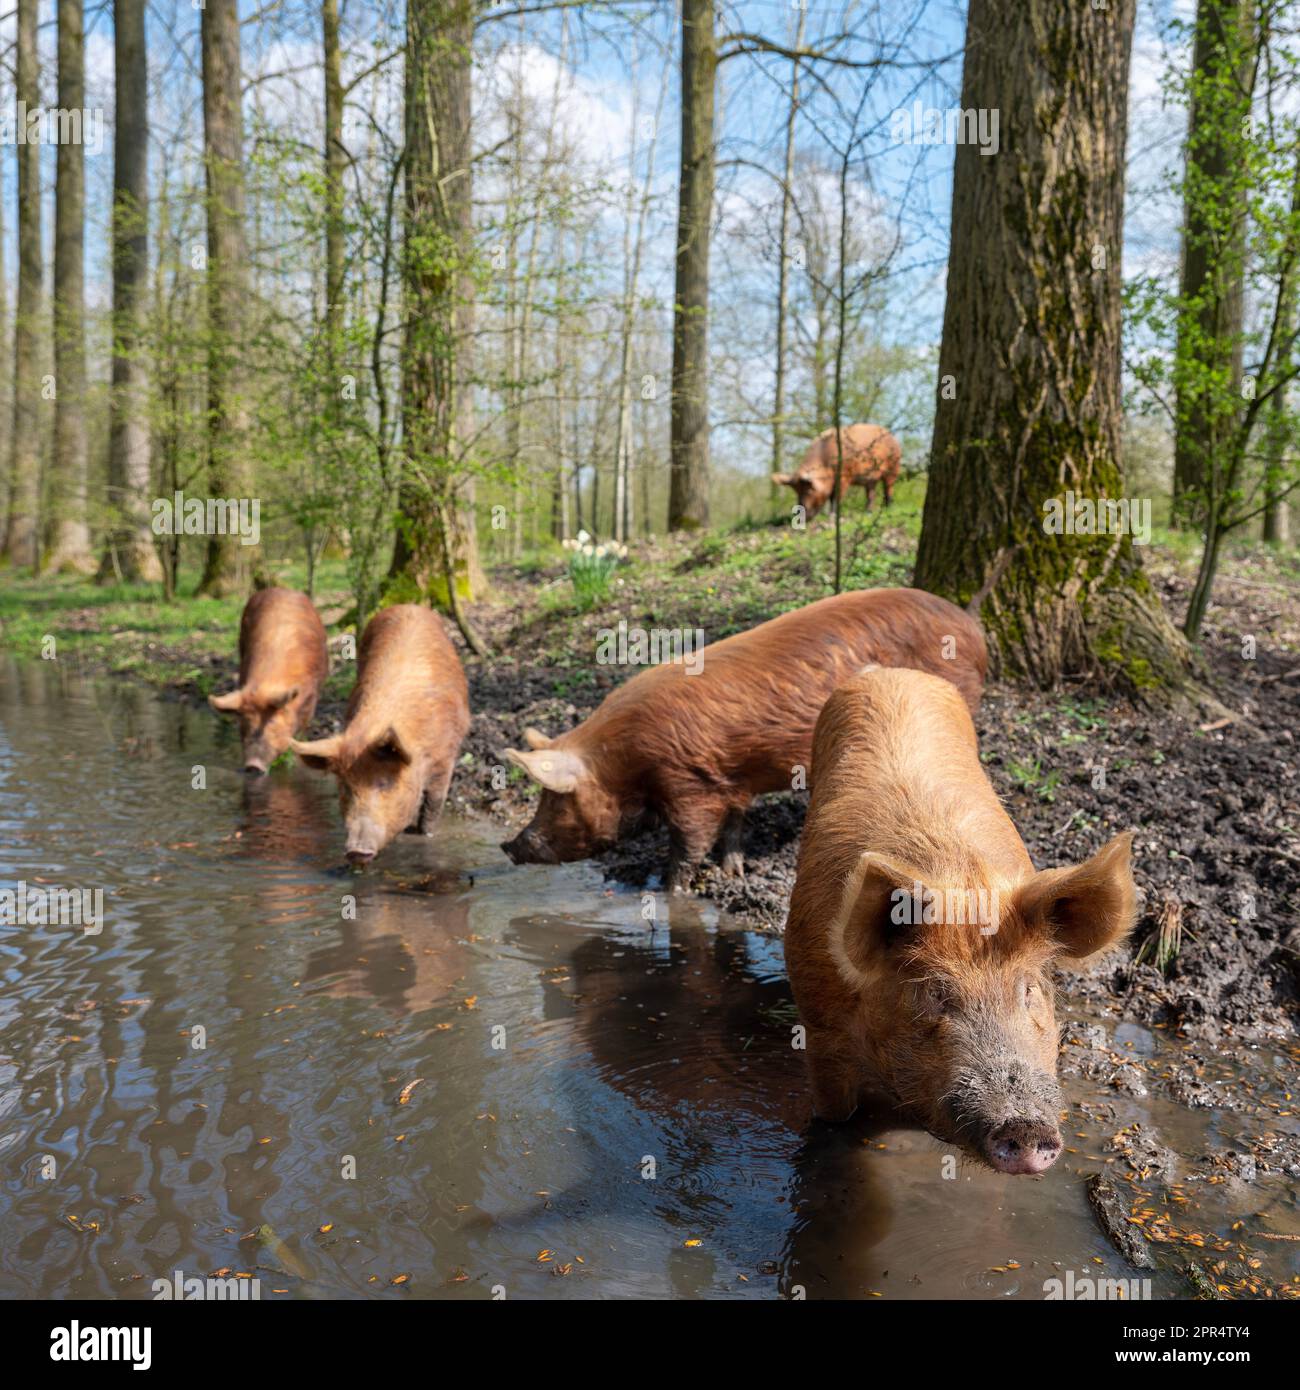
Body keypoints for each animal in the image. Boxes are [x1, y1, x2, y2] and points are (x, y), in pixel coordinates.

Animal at [208, 586, 329, 775]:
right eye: (244, 723)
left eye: (271, 720)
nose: (252, 765)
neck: (268, 683)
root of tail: (284, 589)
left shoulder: (311, 696)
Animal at [289, 604, 470, 864]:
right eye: (346, 787)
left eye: (385, 784)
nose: (356, 851)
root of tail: (409, 606)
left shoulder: (444, 757)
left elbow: (434, 803)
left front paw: (425, 834)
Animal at [501, 587, 987, 891]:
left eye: (555, 799)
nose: (509, 845)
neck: (622, 764)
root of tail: (968, 620)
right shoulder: (728, 777)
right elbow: (735, 824)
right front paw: (733, 871)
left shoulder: (688, 785)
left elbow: (689, 845)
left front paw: (671, 890)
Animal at [772, 422, 902, 517]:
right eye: (796, 491)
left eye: (809, 490)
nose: (799, 513)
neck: (825, 463)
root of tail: (894, 438)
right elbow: (831, 496)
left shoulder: (844, 475)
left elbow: (836, 496)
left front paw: (832, 515)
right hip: (871, 478)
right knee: (871, 494)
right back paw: (868, 513)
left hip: (893, 467)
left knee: (888, 489)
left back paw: (889, 509)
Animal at [783, 665, 1137, 1175]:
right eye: (936, 994)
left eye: (1029, 989)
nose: (1025, 1127)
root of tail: (889, 671)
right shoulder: (818, 1027)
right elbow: (833, 1114)